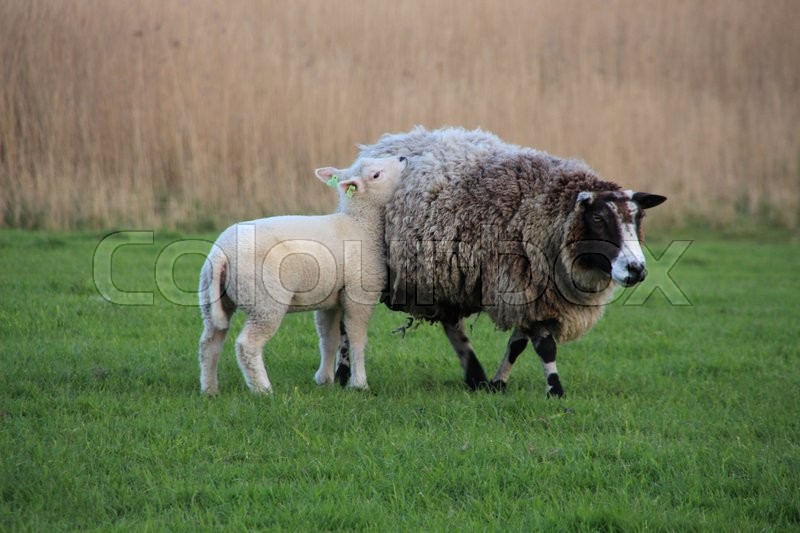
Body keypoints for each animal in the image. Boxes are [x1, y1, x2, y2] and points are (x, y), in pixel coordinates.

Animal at [197, 155, 408, 394]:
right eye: (376, 175)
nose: (402, 157)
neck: (361, 223)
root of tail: (221, 253)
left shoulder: (331, 298)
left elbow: (328, 338)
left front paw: (324, 379)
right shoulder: (359, 294)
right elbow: (357, 339)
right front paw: (360, 383)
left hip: (212, 298)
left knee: (210, 342)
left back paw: (210, 390)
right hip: (265, 302)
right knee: (247, 345)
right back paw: (263, 390)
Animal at [336, 127, 666, 396]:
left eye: (639, 218)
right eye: (597, 219)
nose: (637, 270)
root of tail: (382, 143)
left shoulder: (534, 294)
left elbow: (519, 343)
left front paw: (498, 383)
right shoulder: (520, 282)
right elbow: (545, 346)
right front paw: (555, 391)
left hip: (445, 279)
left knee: (452, 324)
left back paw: (475, 376)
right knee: (344, 320)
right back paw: (341, 374)